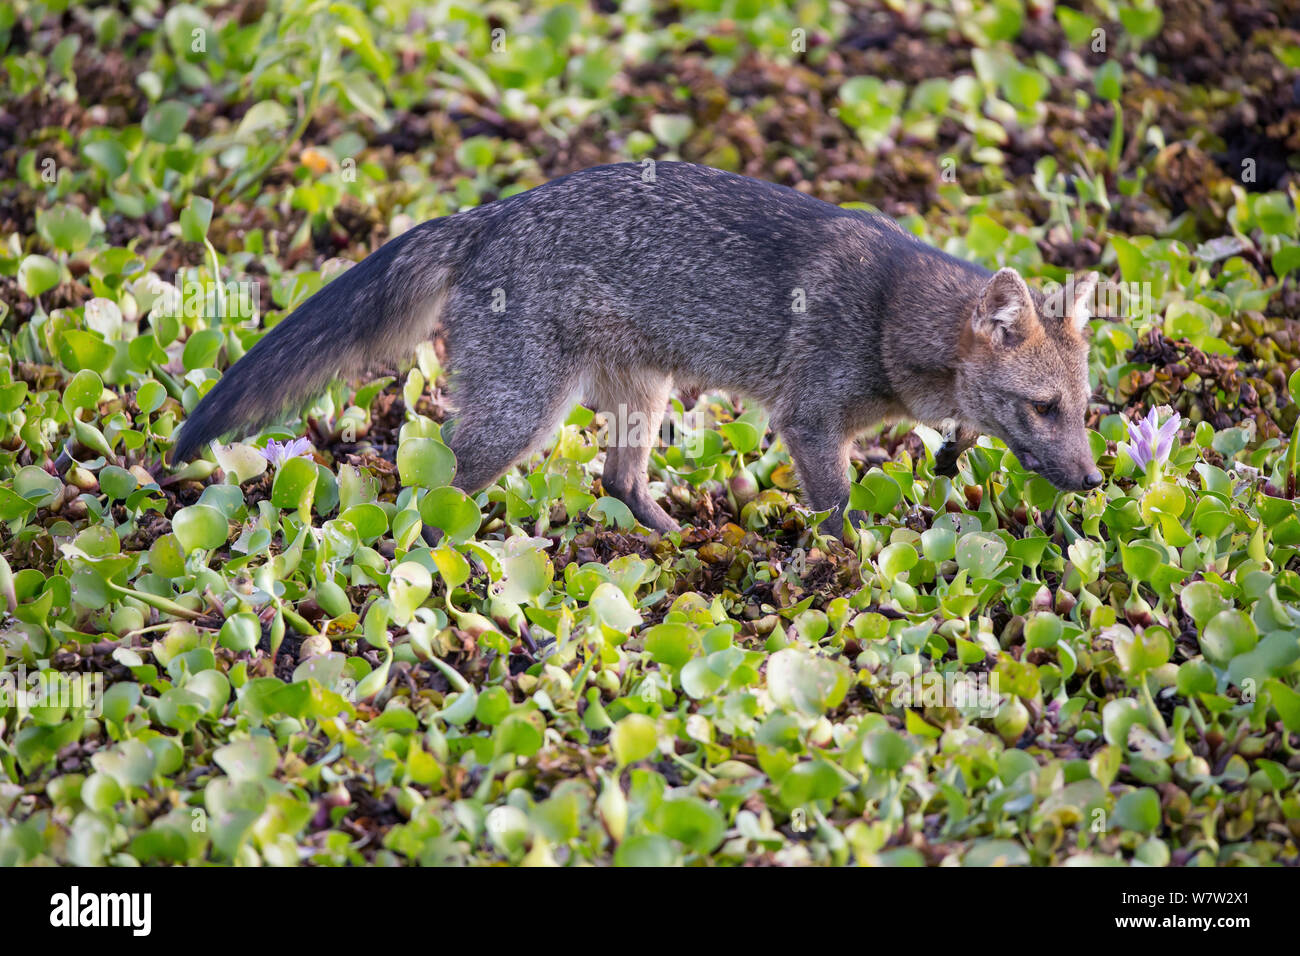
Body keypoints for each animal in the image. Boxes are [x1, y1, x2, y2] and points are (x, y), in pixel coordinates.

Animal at [171, 162, 1103, 537]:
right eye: (1042, 409)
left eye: (1085, 412)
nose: (1097, 483)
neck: (888, 313)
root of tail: (488, 213)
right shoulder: (807, 423)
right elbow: (840, 518)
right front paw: (859, 577)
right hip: (522, 417)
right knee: (430, 494)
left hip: (641, 399)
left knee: (617, 482)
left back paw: (668, 537)